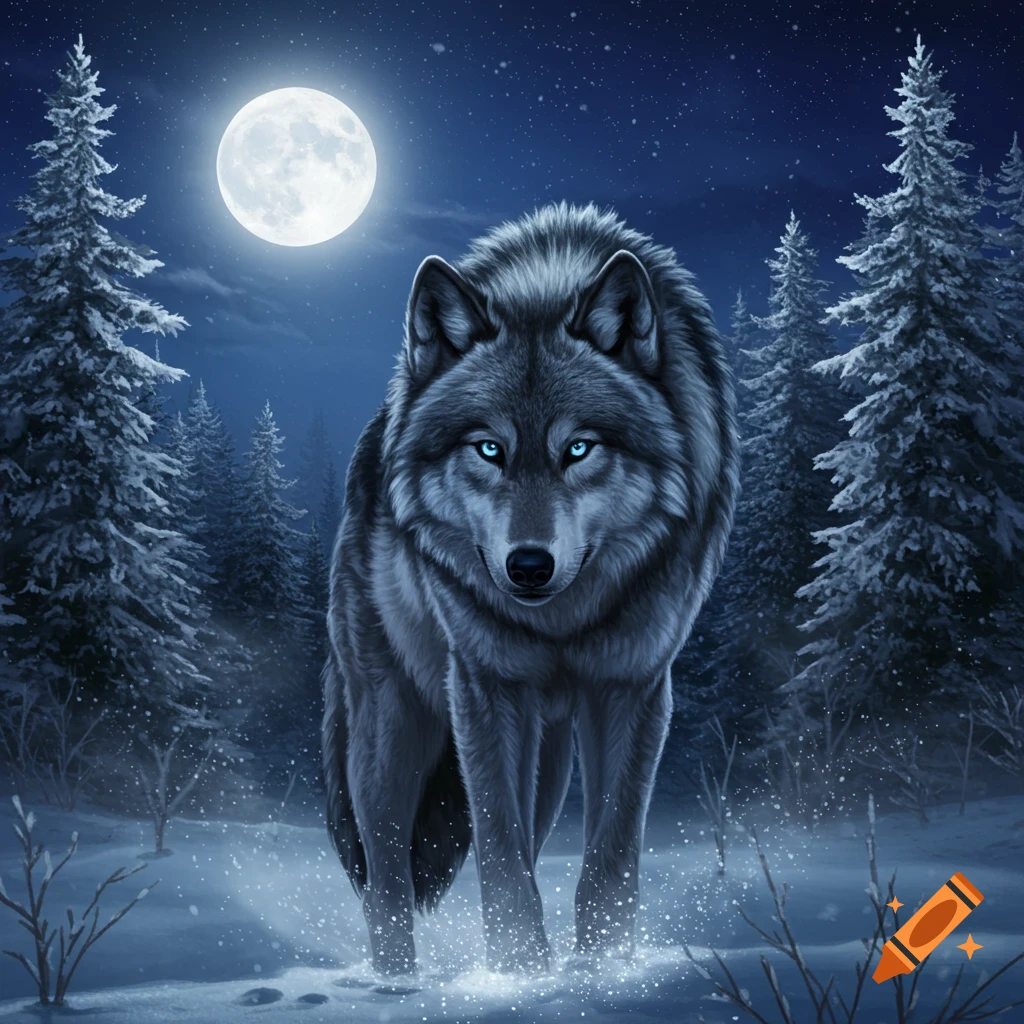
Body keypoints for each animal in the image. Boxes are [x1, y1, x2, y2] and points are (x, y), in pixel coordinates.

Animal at [322, 202, 738, 977]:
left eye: (578, 449)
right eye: (489, 448)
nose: (529, 566)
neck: (561, 625)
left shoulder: (634, 688)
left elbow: (609, 858)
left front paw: (603, 969)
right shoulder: (482, 691)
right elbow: (500, 857)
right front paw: (519, 972)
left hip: (550, 763)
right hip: (390, 729)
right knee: (385, 882)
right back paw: (396, 985)